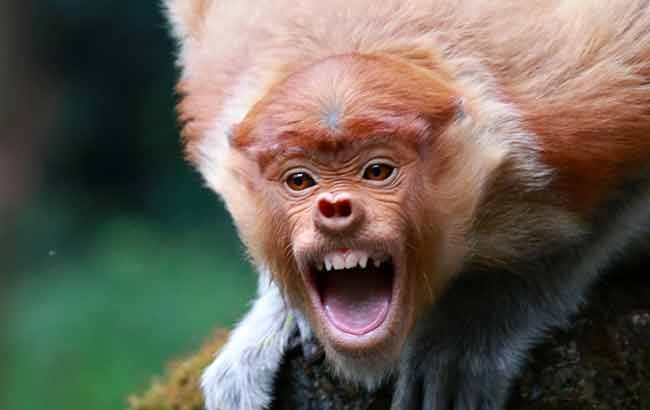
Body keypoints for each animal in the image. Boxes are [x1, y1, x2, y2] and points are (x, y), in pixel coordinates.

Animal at [164, 0, 650, 409]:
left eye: (378, 171)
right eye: (300, 180)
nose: (334, 207)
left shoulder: (580, 104)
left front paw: (467, 331)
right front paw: (273, 322)